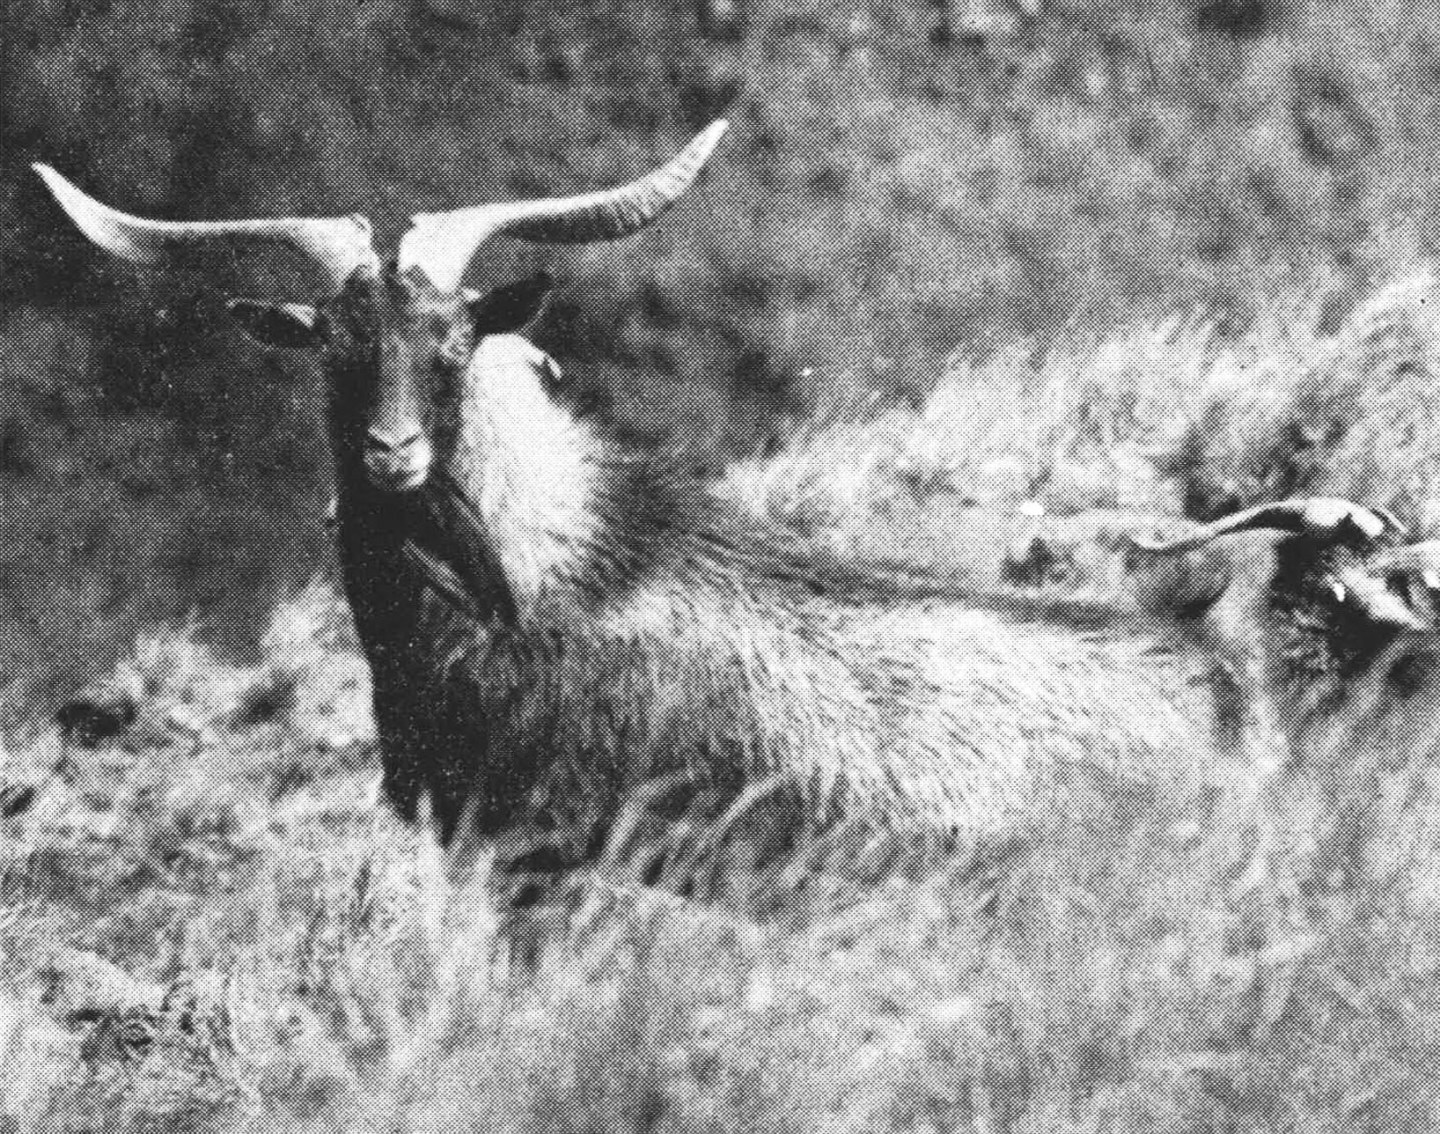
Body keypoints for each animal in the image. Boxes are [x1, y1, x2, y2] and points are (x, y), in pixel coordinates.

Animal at [30, 134, 1413, 860]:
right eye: (329, 342)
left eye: (453, 338)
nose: (392, 456)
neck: (537, 581)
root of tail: (1231, 698)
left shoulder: (551, 859)